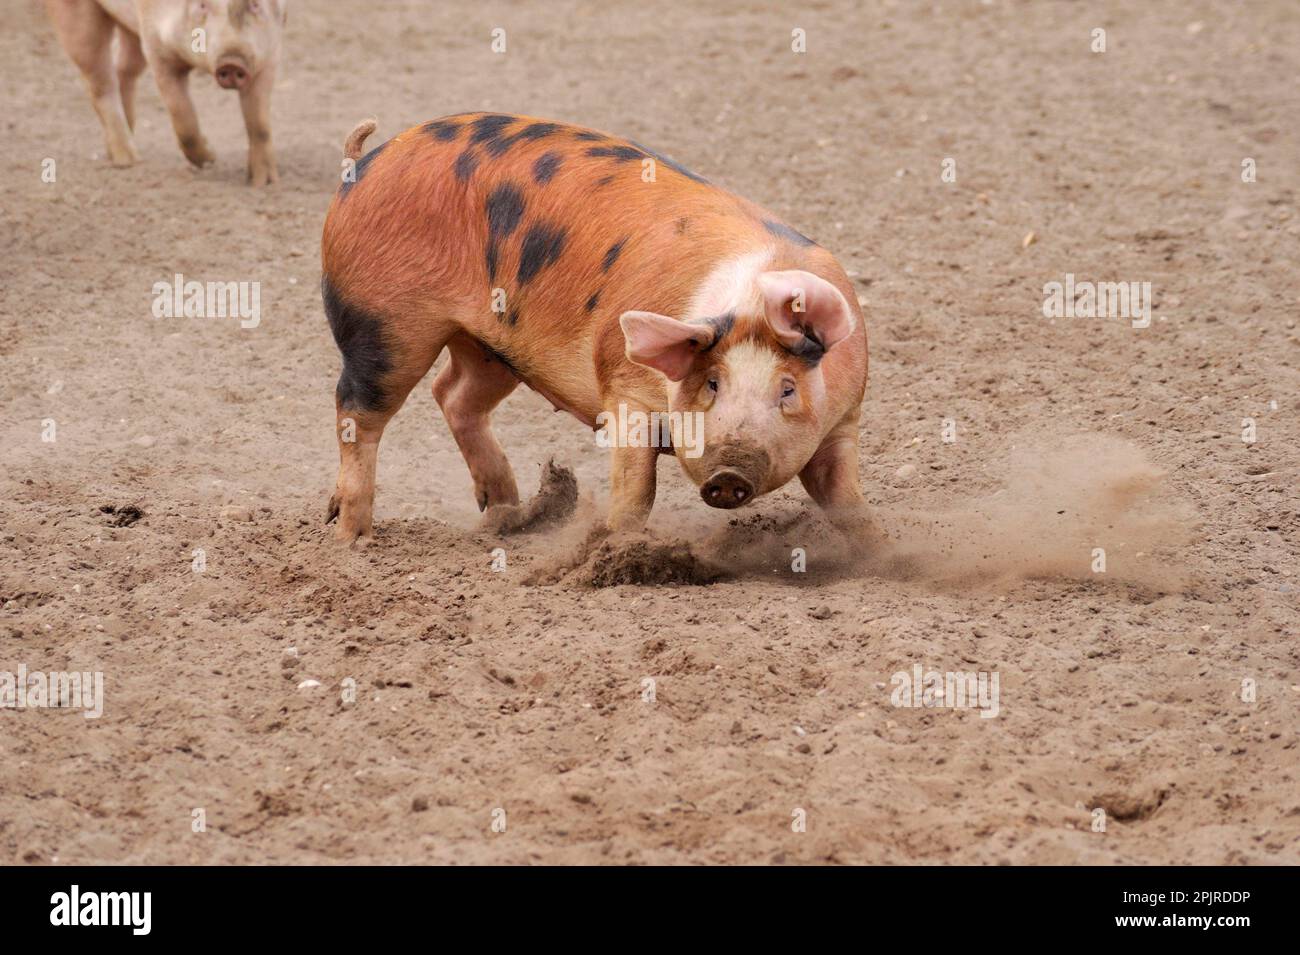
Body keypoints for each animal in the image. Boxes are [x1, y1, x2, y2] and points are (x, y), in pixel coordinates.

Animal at [43, 0, 287, 185]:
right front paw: (209, 159)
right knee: (100, 82)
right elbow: (182, 115)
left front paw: (263, 182)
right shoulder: (156, 48)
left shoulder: (269, 54)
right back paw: (128, 161)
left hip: (129, 28)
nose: (232, 61)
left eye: (254, 4)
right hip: (76, 18)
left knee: (124, 70)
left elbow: (259, 122)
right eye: (202, 5)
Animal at [323, 114, 873, 544]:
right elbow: (636, 490)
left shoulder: (844, 419)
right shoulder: (624, 389)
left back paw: (505, 513)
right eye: (712, 383)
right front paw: (617, 549)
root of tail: (365, 163)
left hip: (491, 345)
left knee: (453, 394)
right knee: (357, 408)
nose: (727, 474)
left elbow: (845, 499)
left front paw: (879, 552)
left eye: (788, 389)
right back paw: (352, 537)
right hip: (384, 321)